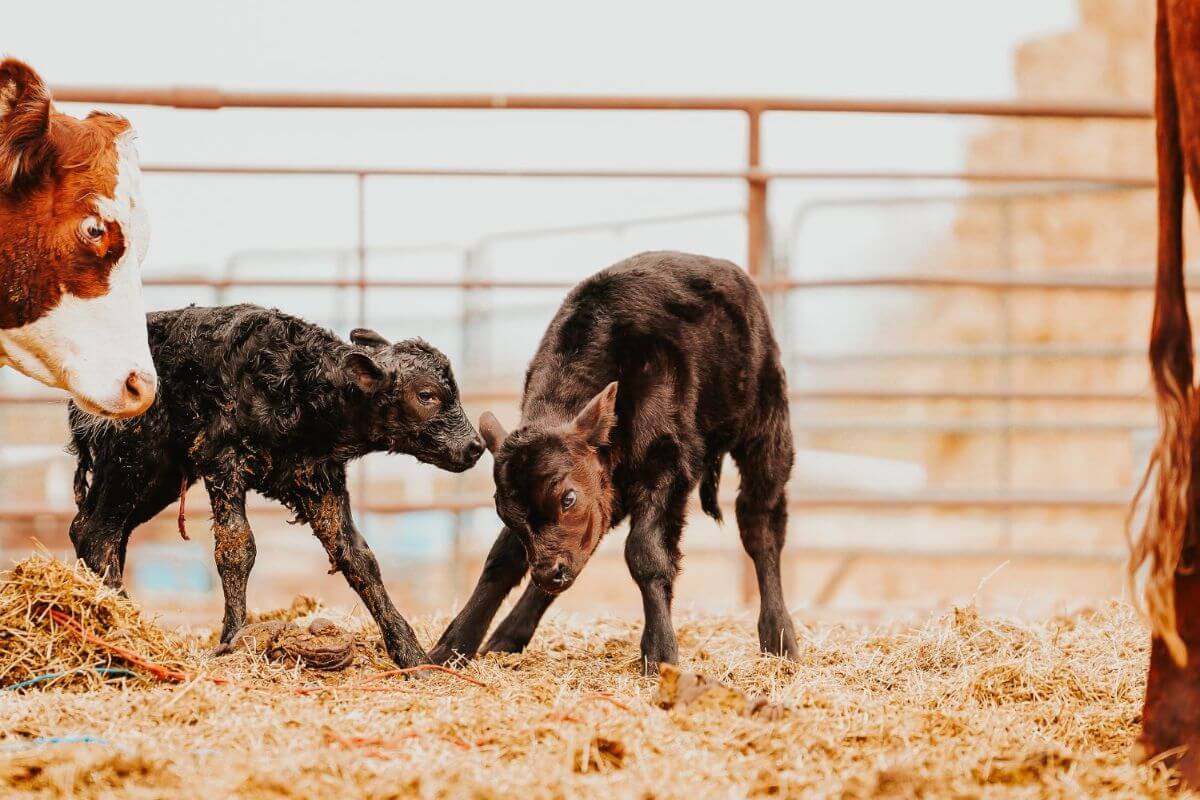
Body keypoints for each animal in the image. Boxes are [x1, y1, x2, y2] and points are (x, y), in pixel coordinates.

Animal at [68, 304, 485, 668]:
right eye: (426, 395)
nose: (475, 446)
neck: (299, 384)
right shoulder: (224, 462)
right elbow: (237, 548)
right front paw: (233, 640)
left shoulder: (319, 480)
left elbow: (358, 557)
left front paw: (412, 654)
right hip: (134, 458)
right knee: (98, 534)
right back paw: (129, 627)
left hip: (159, 476)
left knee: (96, 530)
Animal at [430, 251, 799, 675]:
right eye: (504, 513)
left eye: (568, 498)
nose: (548, 572)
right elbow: (501, 560)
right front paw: (450, 648)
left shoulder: (666, 465)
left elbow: (645, 554)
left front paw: (659, 653)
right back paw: (509, 635)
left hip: (766, 429)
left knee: (761, 525)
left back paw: (779, 638)